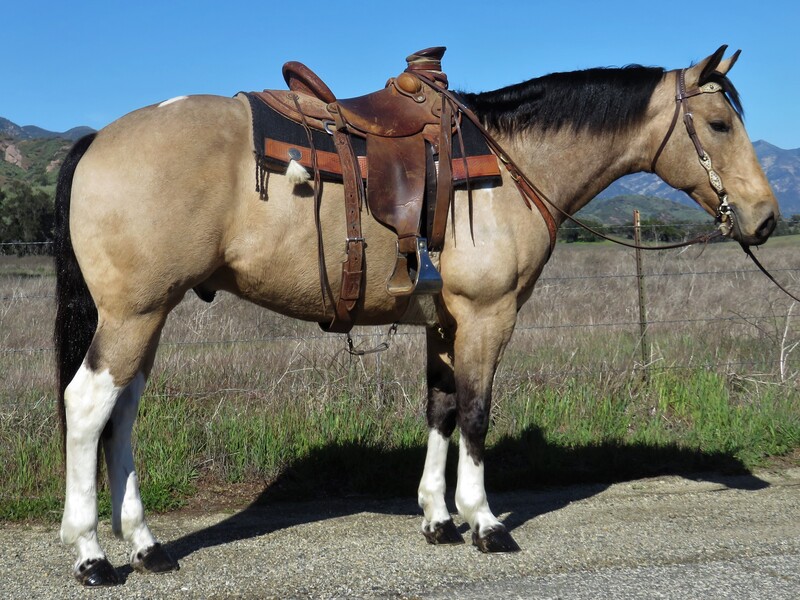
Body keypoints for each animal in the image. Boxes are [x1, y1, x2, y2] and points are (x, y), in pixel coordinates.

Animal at [53, 46, 778, 585]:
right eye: (720, 125)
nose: (767, 218)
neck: (512, 165)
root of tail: (98, 139)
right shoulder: (488, 316)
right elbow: (478, 414)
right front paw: (484, 522)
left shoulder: (445, 323)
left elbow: (440, 409)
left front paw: (437, 517)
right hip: (133, 314)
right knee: (89, 406)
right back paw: (91, 554)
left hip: (148, 316)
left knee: (122, 414)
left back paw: (147, 545)